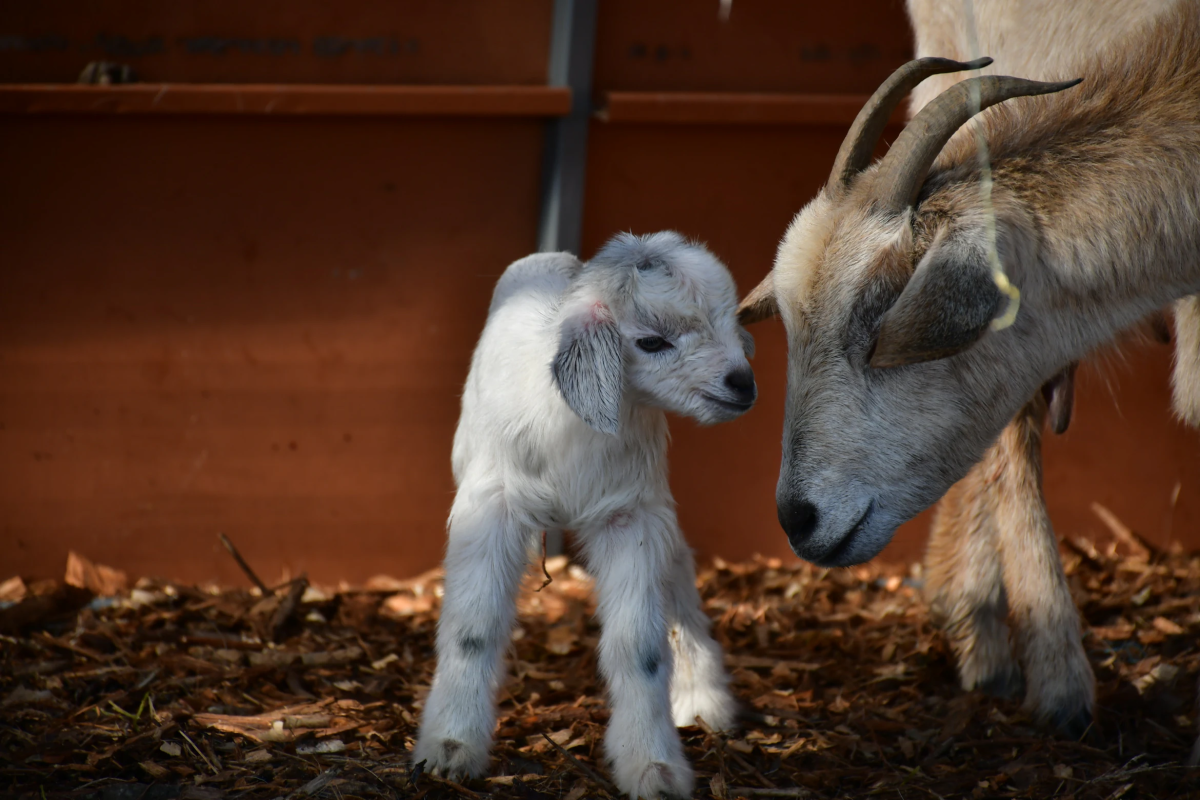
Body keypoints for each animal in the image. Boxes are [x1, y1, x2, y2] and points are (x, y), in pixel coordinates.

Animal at [413, 231, 754, 799]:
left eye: (732, 320)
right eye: (652, 342)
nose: (743, 385)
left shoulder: (632, 516)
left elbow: (640, 648)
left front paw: (654, 767)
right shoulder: (491, 507)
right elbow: (473, 628)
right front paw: (449, 747)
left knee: (680, 582)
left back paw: (704, 702)